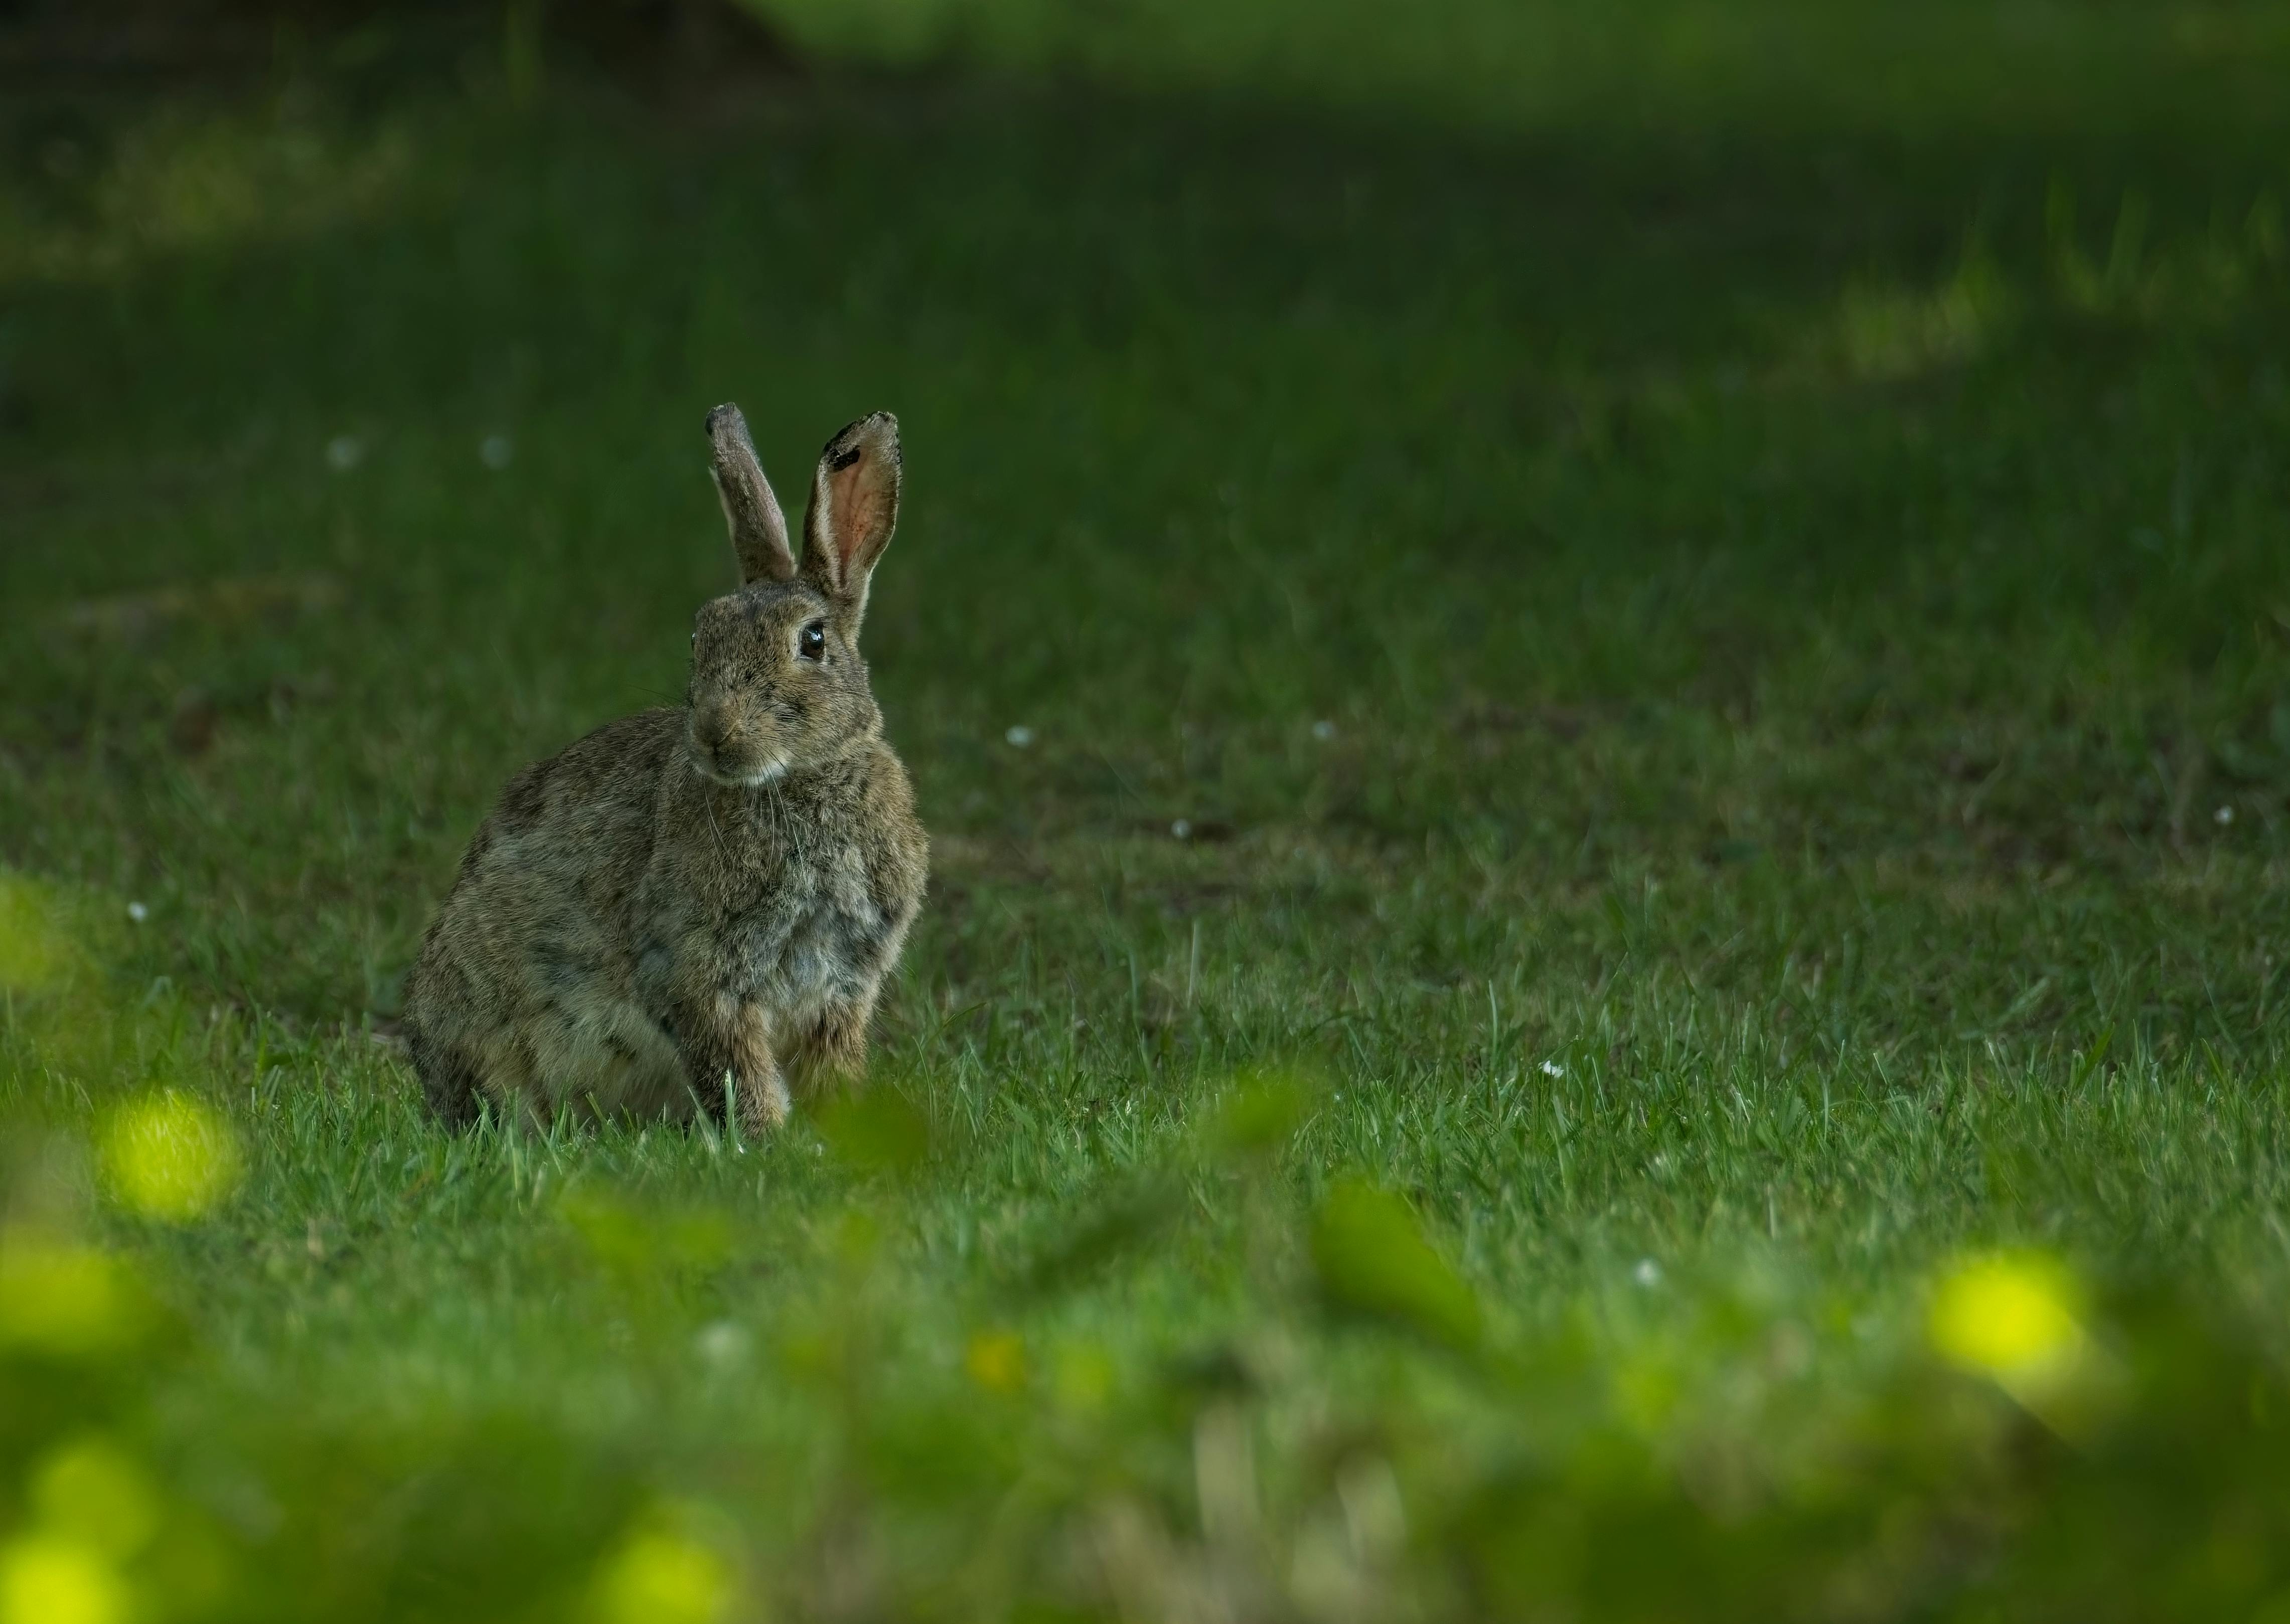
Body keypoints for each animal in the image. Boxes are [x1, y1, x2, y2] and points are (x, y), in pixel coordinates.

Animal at [402, 404, 928, 1135]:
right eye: (699, 637)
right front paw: (771, 1138)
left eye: (814, 641)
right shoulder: (696, 971)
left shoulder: (843, 984)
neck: (795, 781)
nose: (714, 733)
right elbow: (735, 1069)